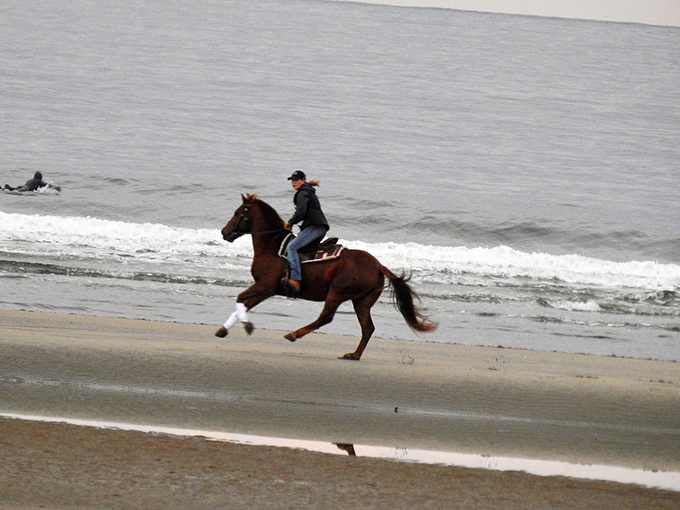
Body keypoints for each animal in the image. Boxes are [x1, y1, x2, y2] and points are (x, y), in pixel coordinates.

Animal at [216, 194, 436, 360]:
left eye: (238, 213)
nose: (224, 232)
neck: (272, 245)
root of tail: (377, 265)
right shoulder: (263, 288)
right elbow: (244, 303)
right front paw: (223, 330)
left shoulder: (265, 287)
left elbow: (241, 299)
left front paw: (245, 326)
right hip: (362, 301)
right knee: (367, 328)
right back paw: (354, 355)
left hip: (337, 293)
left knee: (326, 317)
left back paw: (294, 334)